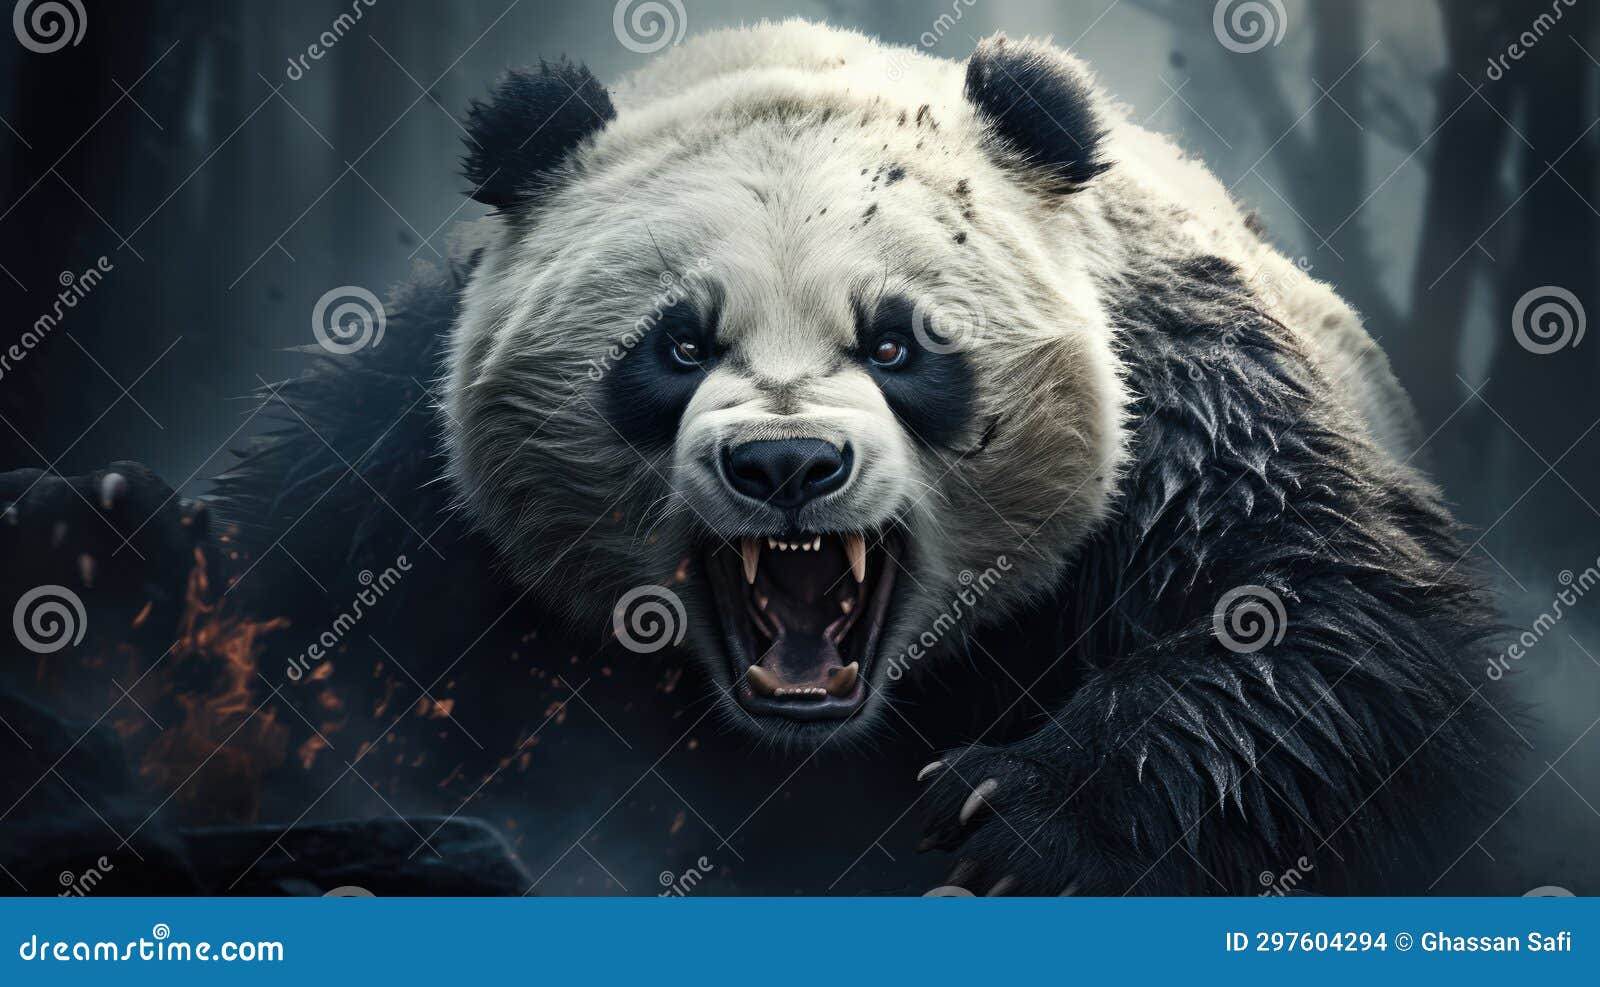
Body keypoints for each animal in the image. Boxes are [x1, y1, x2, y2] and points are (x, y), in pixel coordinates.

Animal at [1, 21, 1513, 895]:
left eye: (899, 343)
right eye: (678, 345)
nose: (786, 465)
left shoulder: (1175, 382)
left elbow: (1312, 608)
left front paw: (1020, 814)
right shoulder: (411, 449)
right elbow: (281, 565)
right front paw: (97, 563)